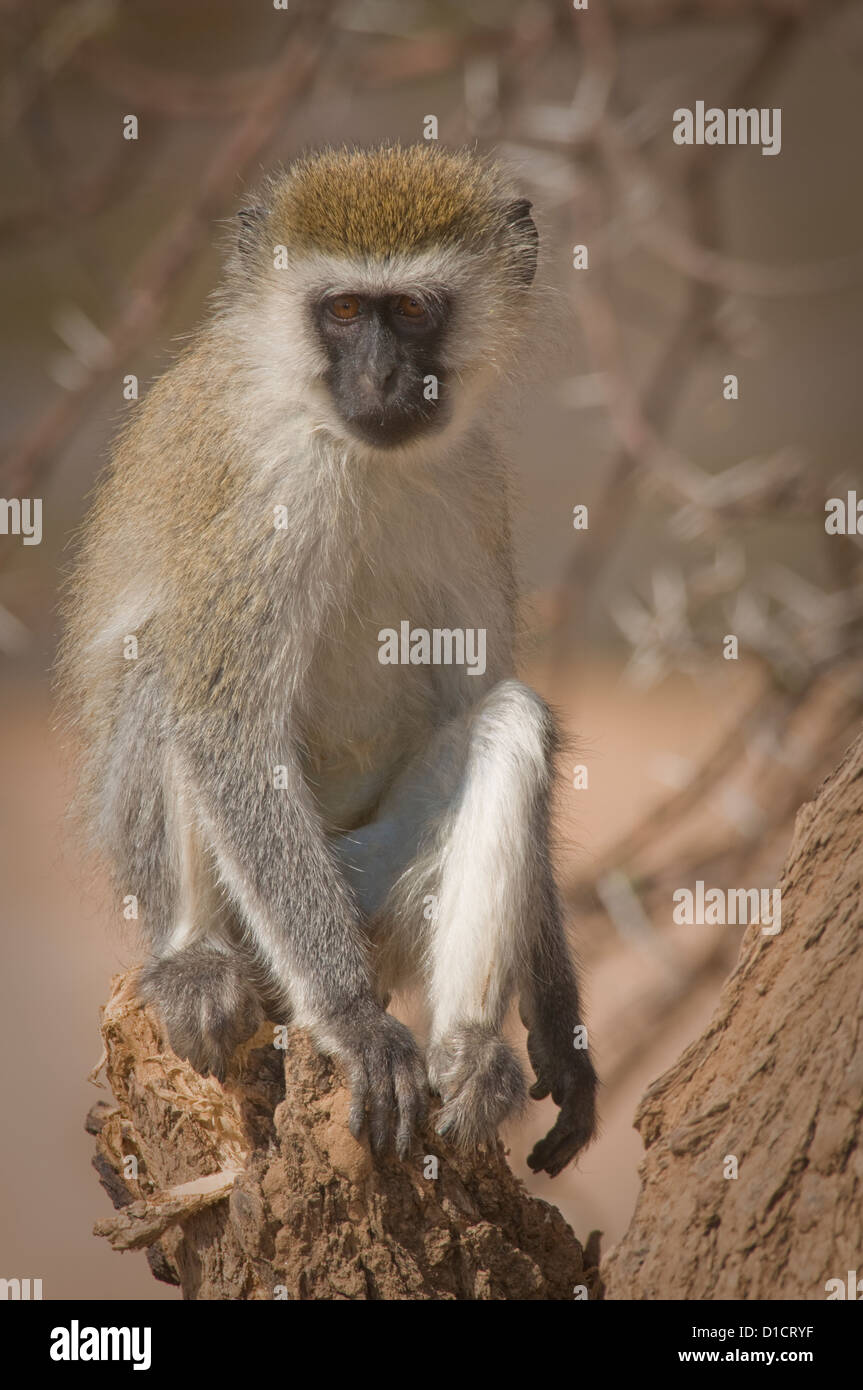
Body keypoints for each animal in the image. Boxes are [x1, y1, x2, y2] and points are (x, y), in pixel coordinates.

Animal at [57, 143, 597, 1178]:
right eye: (343, 310)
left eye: (412, 311)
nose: (383, 376)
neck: (353, 450)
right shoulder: (271, 489)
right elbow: (225, 721)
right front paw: (352, 1025)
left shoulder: (473, 483)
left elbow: (475, 695)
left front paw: (558, 1027)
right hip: (268, 923)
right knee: (168, 677)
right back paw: (194, 963)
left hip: (373, 891)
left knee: (511, 720)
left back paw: (471, 1054)